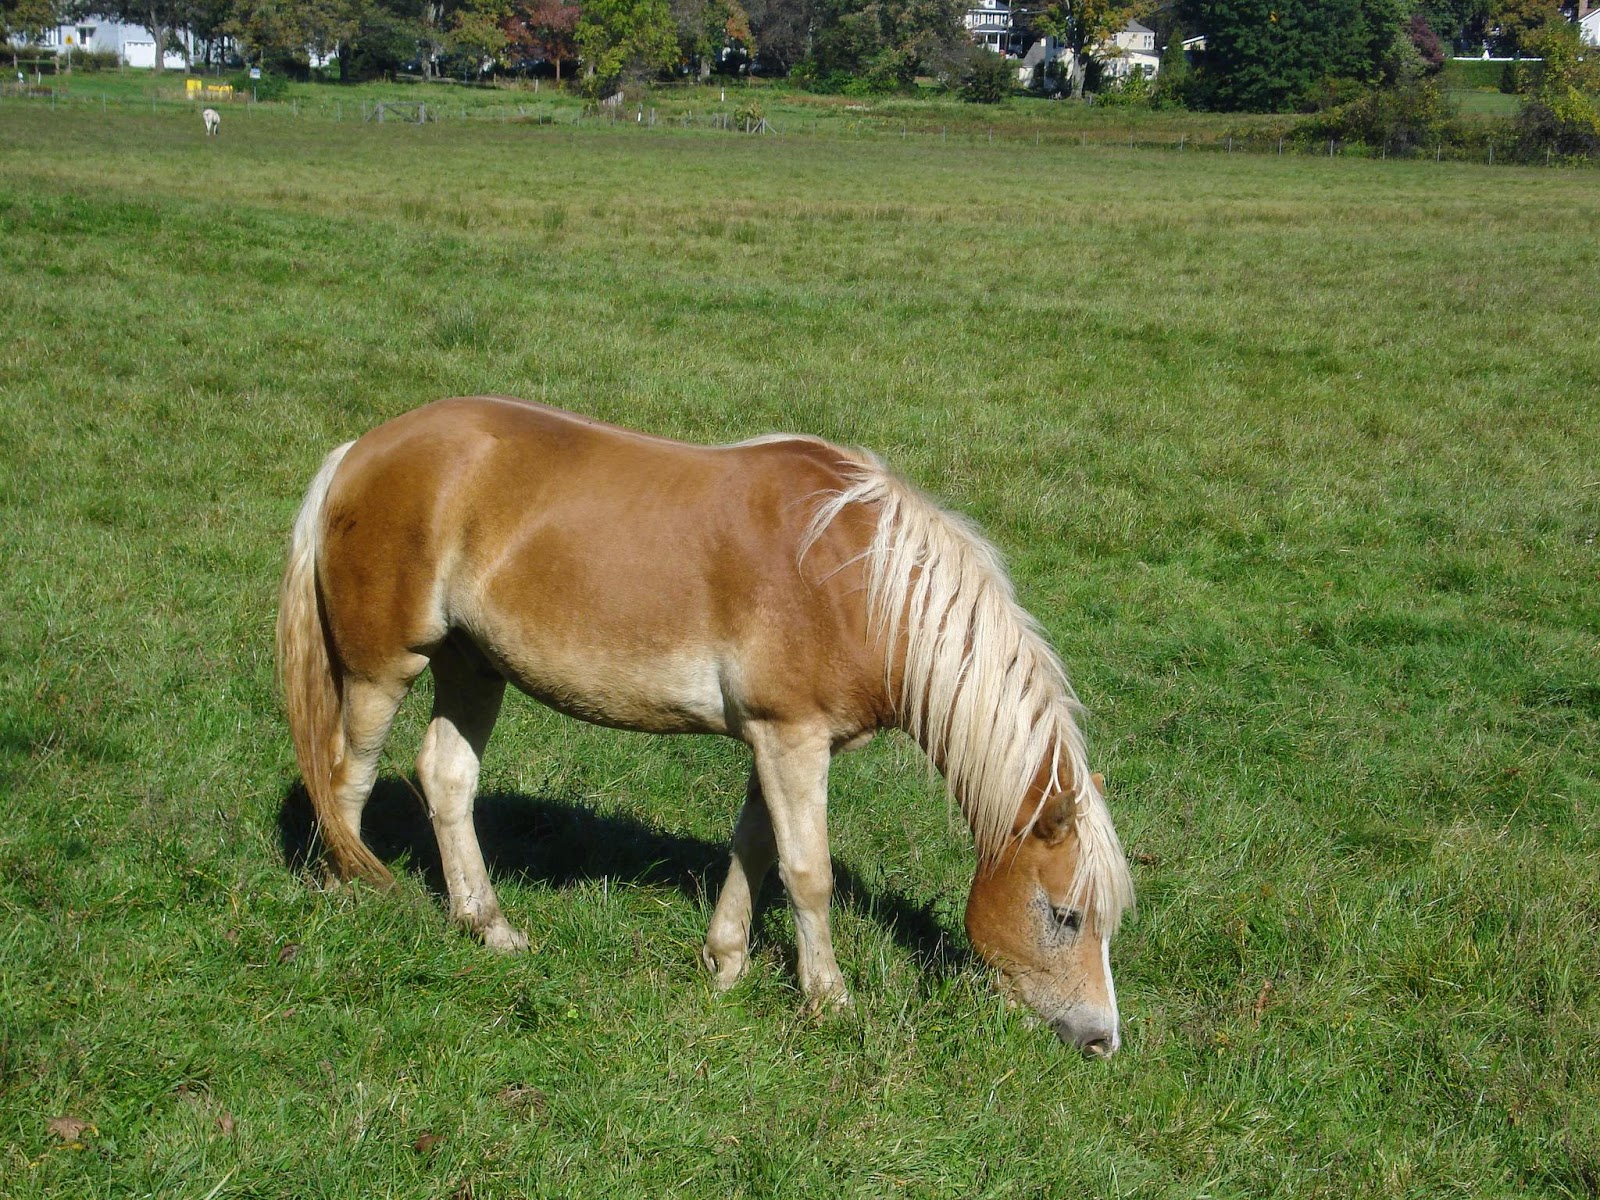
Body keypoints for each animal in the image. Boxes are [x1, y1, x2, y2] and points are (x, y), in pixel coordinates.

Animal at [276, 396, 1134, 1055]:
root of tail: (359, 451)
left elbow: (756, 850)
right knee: (347, 778)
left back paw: (490, 927)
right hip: (384, 670)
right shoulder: (793, 739)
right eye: (1065, 916)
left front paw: (725, 966)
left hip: (472, 668)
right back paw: (347, 893)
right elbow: (808, 872)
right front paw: (830, 1001)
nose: (1101, 1041)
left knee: (446, 779)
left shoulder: (773, 740)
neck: (859, 583)